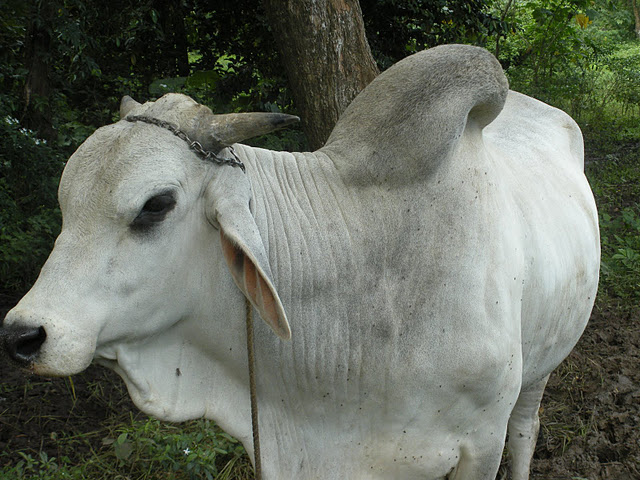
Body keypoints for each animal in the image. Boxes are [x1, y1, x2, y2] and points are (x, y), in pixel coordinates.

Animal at [1, 45, 599, 479]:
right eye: (66, 201)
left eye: (156, 204)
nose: (22, 336)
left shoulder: (479, 444)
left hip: (541, 369)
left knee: (526, 431)